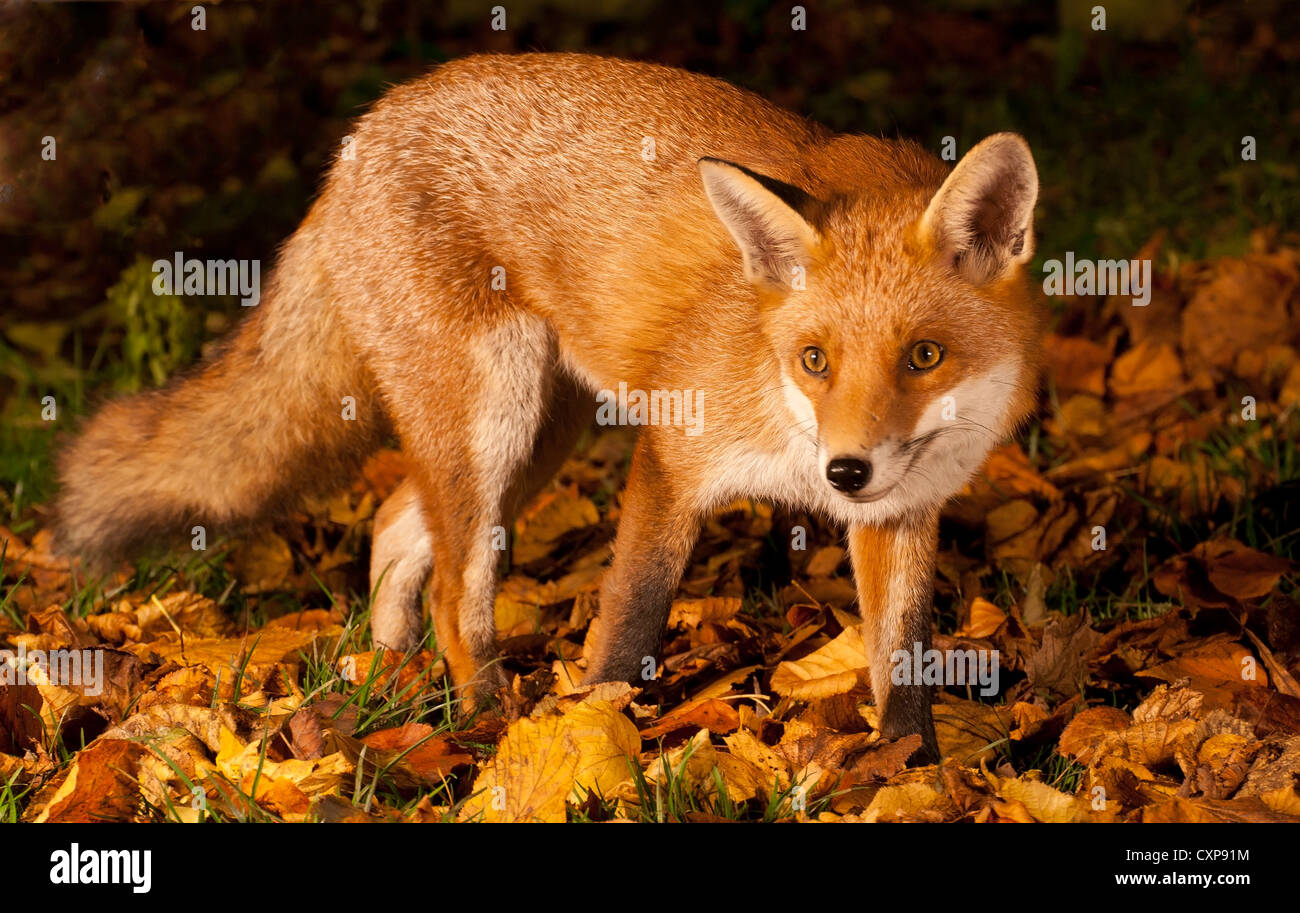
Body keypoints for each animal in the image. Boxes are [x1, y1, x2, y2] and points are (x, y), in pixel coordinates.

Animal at [55, 52, 1040, 764]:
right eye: (814, 360)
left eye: (923, 356)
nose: (847, 470)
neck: (789, 419)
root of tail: (364, 132)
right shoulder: (673, 453)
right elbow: (629, 622)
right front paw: (594, 730)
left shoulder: (901, 513)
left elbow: (902, 662)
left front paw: (909, 774)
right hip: (495, 419)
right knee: (455, 590)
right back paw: (488, 722)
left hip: (534, 437)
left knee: (392, 524)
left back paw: (393, 675)